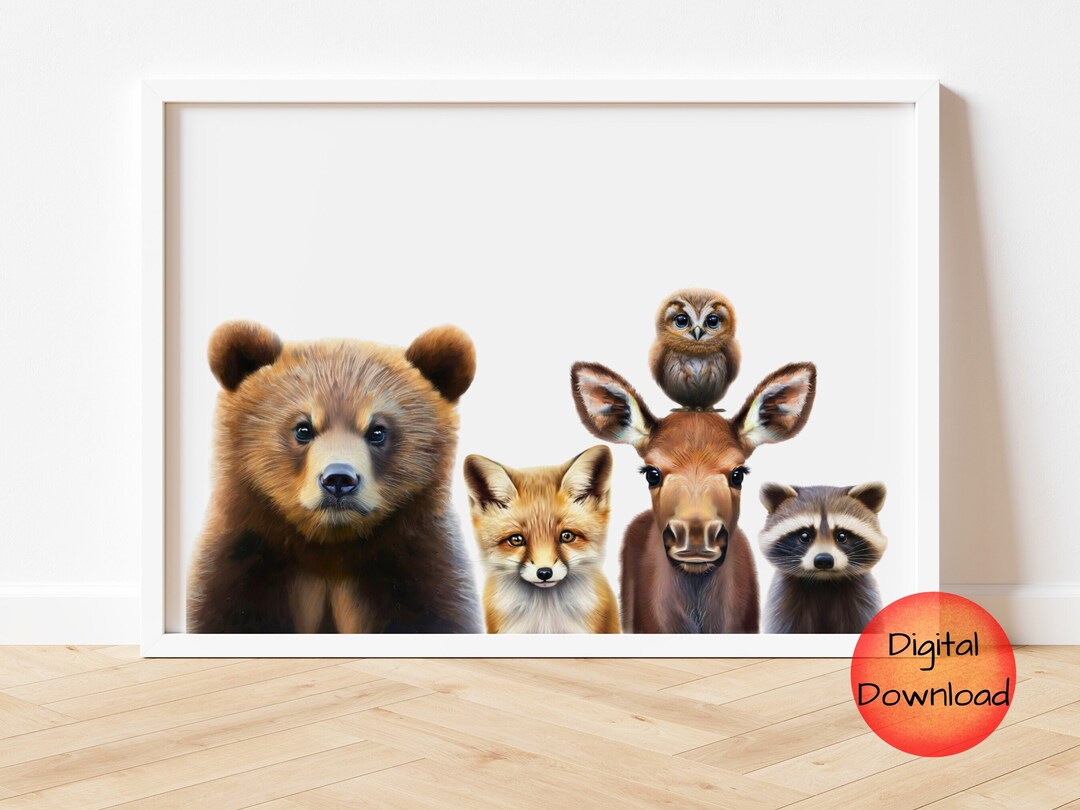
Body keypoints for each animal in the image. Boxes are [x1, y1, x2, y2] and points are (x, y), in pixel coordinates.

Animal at [186, 320, 483, 634]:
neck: (329, 551)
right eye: (303, 428)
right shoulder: (243, 564)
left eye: (377, 431)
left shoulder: (420, 571)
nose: (339, 479)